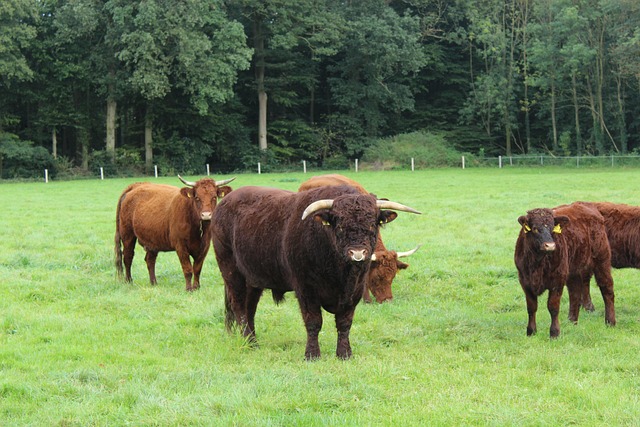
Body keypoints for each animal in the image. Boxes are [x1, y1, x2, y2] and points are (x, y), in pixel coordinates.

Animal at [514, 203, 616, 338]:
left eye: (552, 228)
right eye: (535, 228)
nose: (550, 246)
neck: (537, 263)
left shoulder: (557, 280)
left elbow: (553, 307)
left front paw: (554, 333)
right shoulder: (525, 281)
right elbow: (531, 307)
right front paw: (531, 331)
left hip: (602, 261)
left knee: (607, 289)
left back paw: (610, 322)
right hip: (574, 270)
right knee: (575, 294)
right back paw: (572, 321)